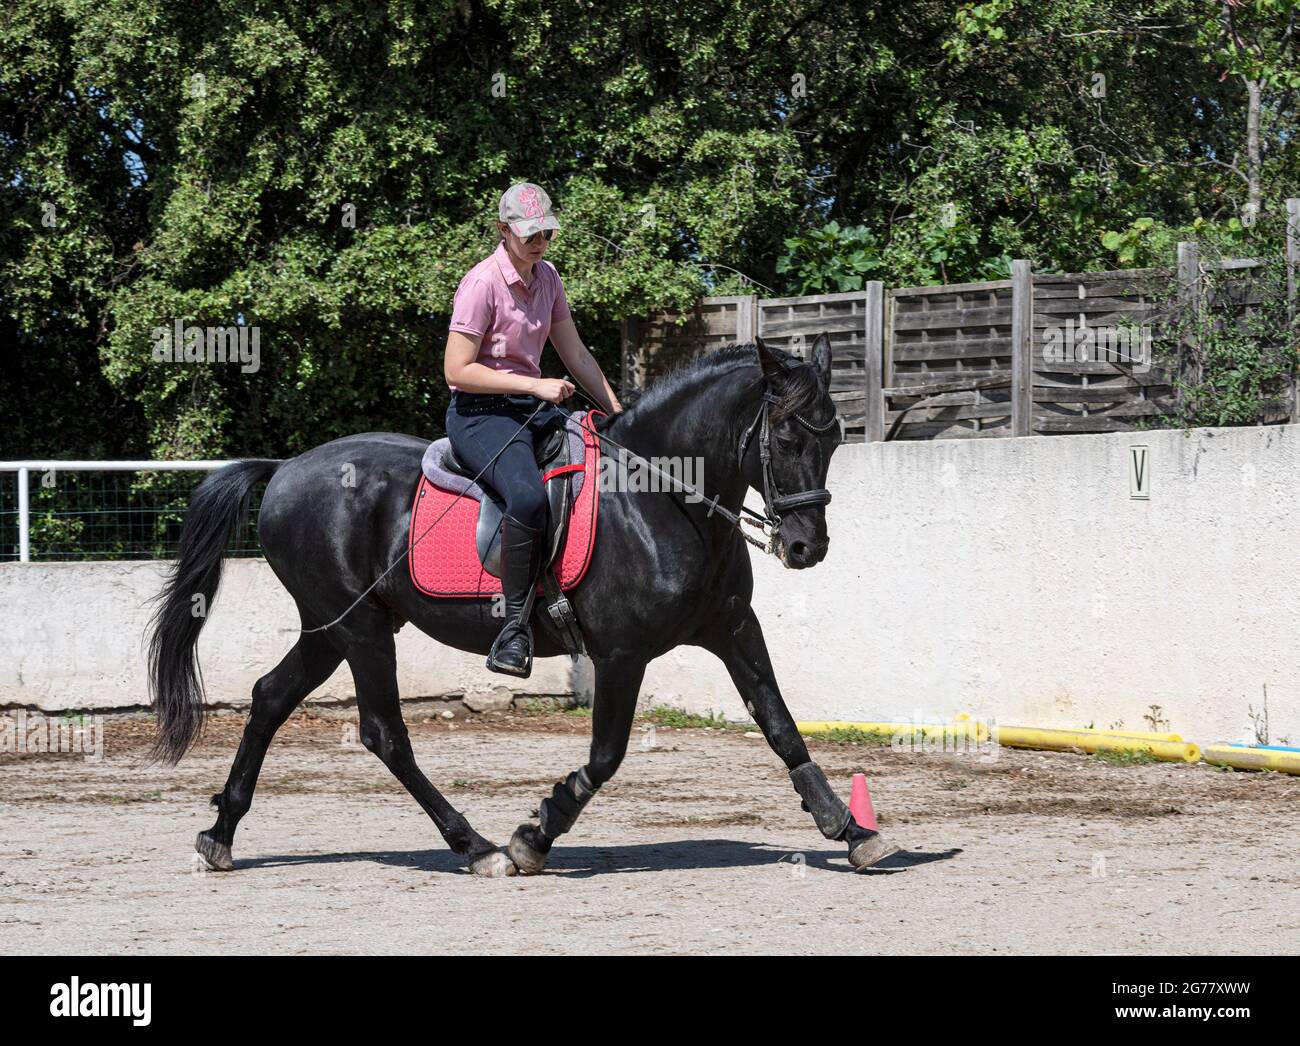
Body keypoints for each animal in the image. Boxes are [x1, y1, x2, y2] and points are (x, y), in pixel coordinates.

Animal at [146, 334, 898, 877]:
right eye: (789, 438)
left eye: (834, 439)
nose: (805, 547)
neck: (663, 499)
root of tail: (285, 471)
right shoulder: (621, 654)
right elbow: (605, 756)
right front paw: (535, 834)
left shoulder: (733, 628)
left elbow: (780, 726)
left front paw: (849, 827)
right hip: (359, 629)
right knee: (383, 732)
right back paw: (476, 846)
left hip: (331, 628)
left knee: (270, 697)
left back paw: (220, 834)